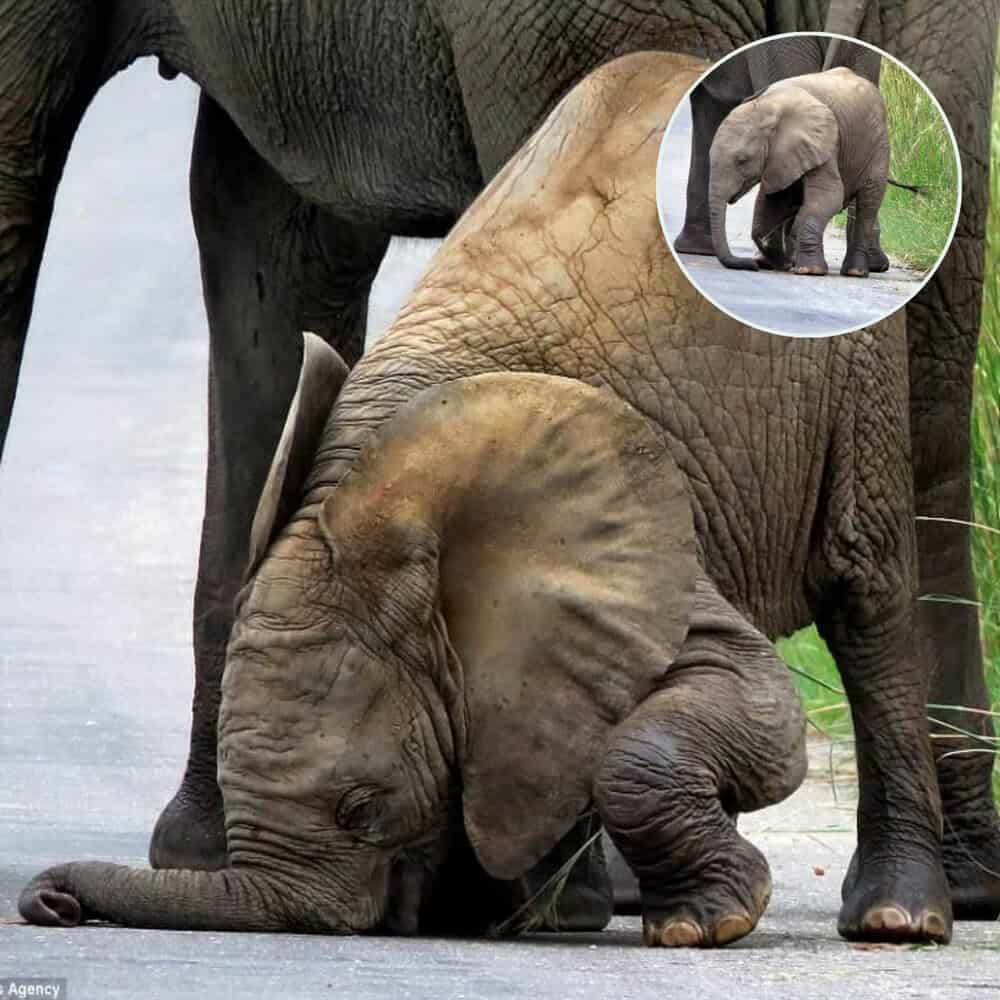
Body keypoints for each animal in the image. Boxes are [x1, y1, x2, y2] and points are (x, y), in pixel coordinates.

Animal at [672, 33, 890, 273]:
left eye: (742, 160)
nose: (749, 266)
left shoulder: (821, 145)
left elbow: (828, 196)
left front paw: (806, 269)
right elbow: (773, 203)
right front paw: (784, 262)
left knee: (868, 200)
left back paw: (857, 270)